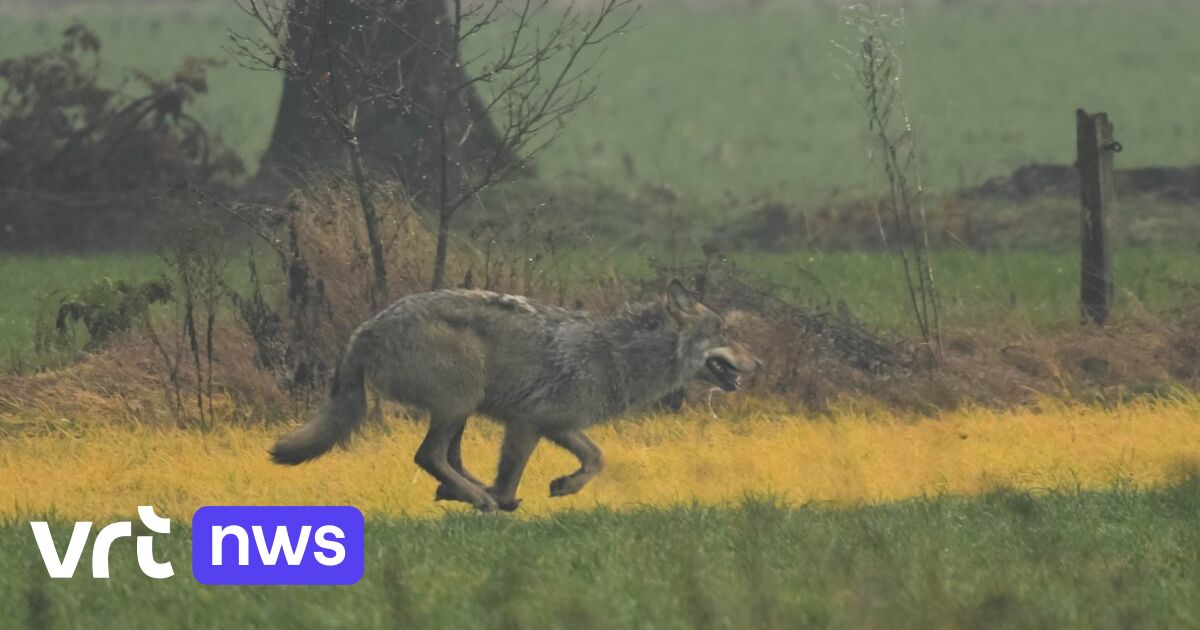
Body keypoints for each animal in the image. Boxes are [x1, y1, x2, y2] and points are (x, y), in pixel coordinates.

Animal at [270, 280, 759, 512]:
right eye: (725, 332)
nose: (758, 364)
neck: (617, 353)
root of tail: (365, 329)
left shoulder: (561, 426)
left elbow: (597, 459)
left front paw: (564, 485)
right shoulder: (526, 424)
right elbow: (510, 481)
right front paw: (502, 499)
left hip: (463, 410)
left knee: (447, 459)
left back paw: (461, 491)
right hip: (461, 400)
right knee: (428, 456)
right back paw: (477, 498)